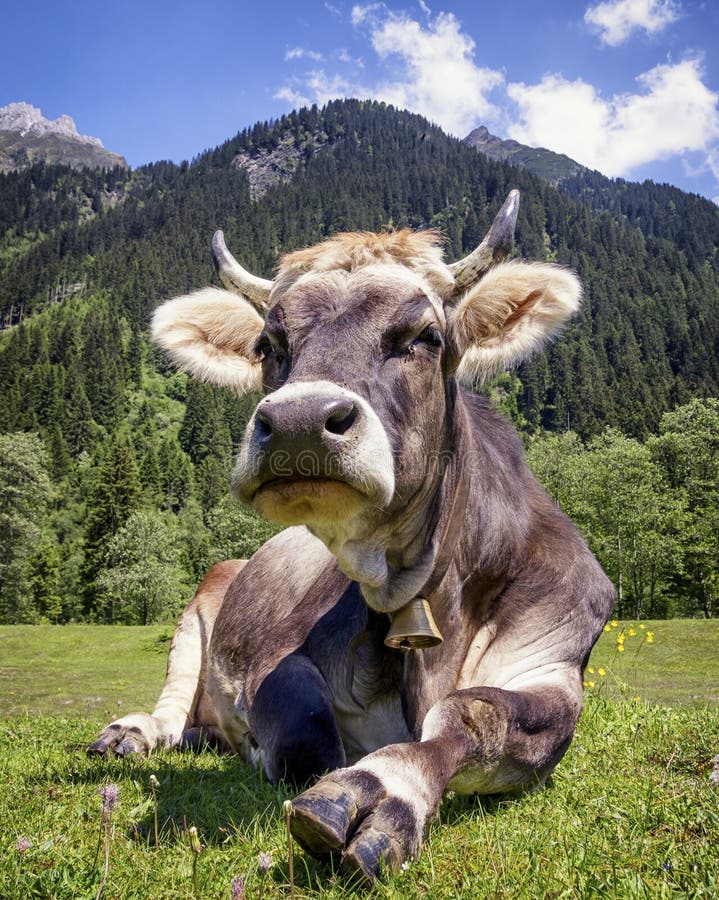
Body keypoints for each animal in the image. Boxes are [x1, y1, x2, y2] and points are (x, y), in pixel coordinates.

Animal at [89, 191, 614, 883]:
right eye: (268, 344)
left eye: (425, 337)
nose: (299, 422)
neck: (426, 595)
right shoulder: (278, 661)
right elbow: (306, 738)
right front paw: (278, 754)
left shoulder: (552, 663)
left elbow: (477, 714)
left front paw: (386, 784)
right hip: (198, 611)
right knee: (175, 708)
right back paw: (137, 732)